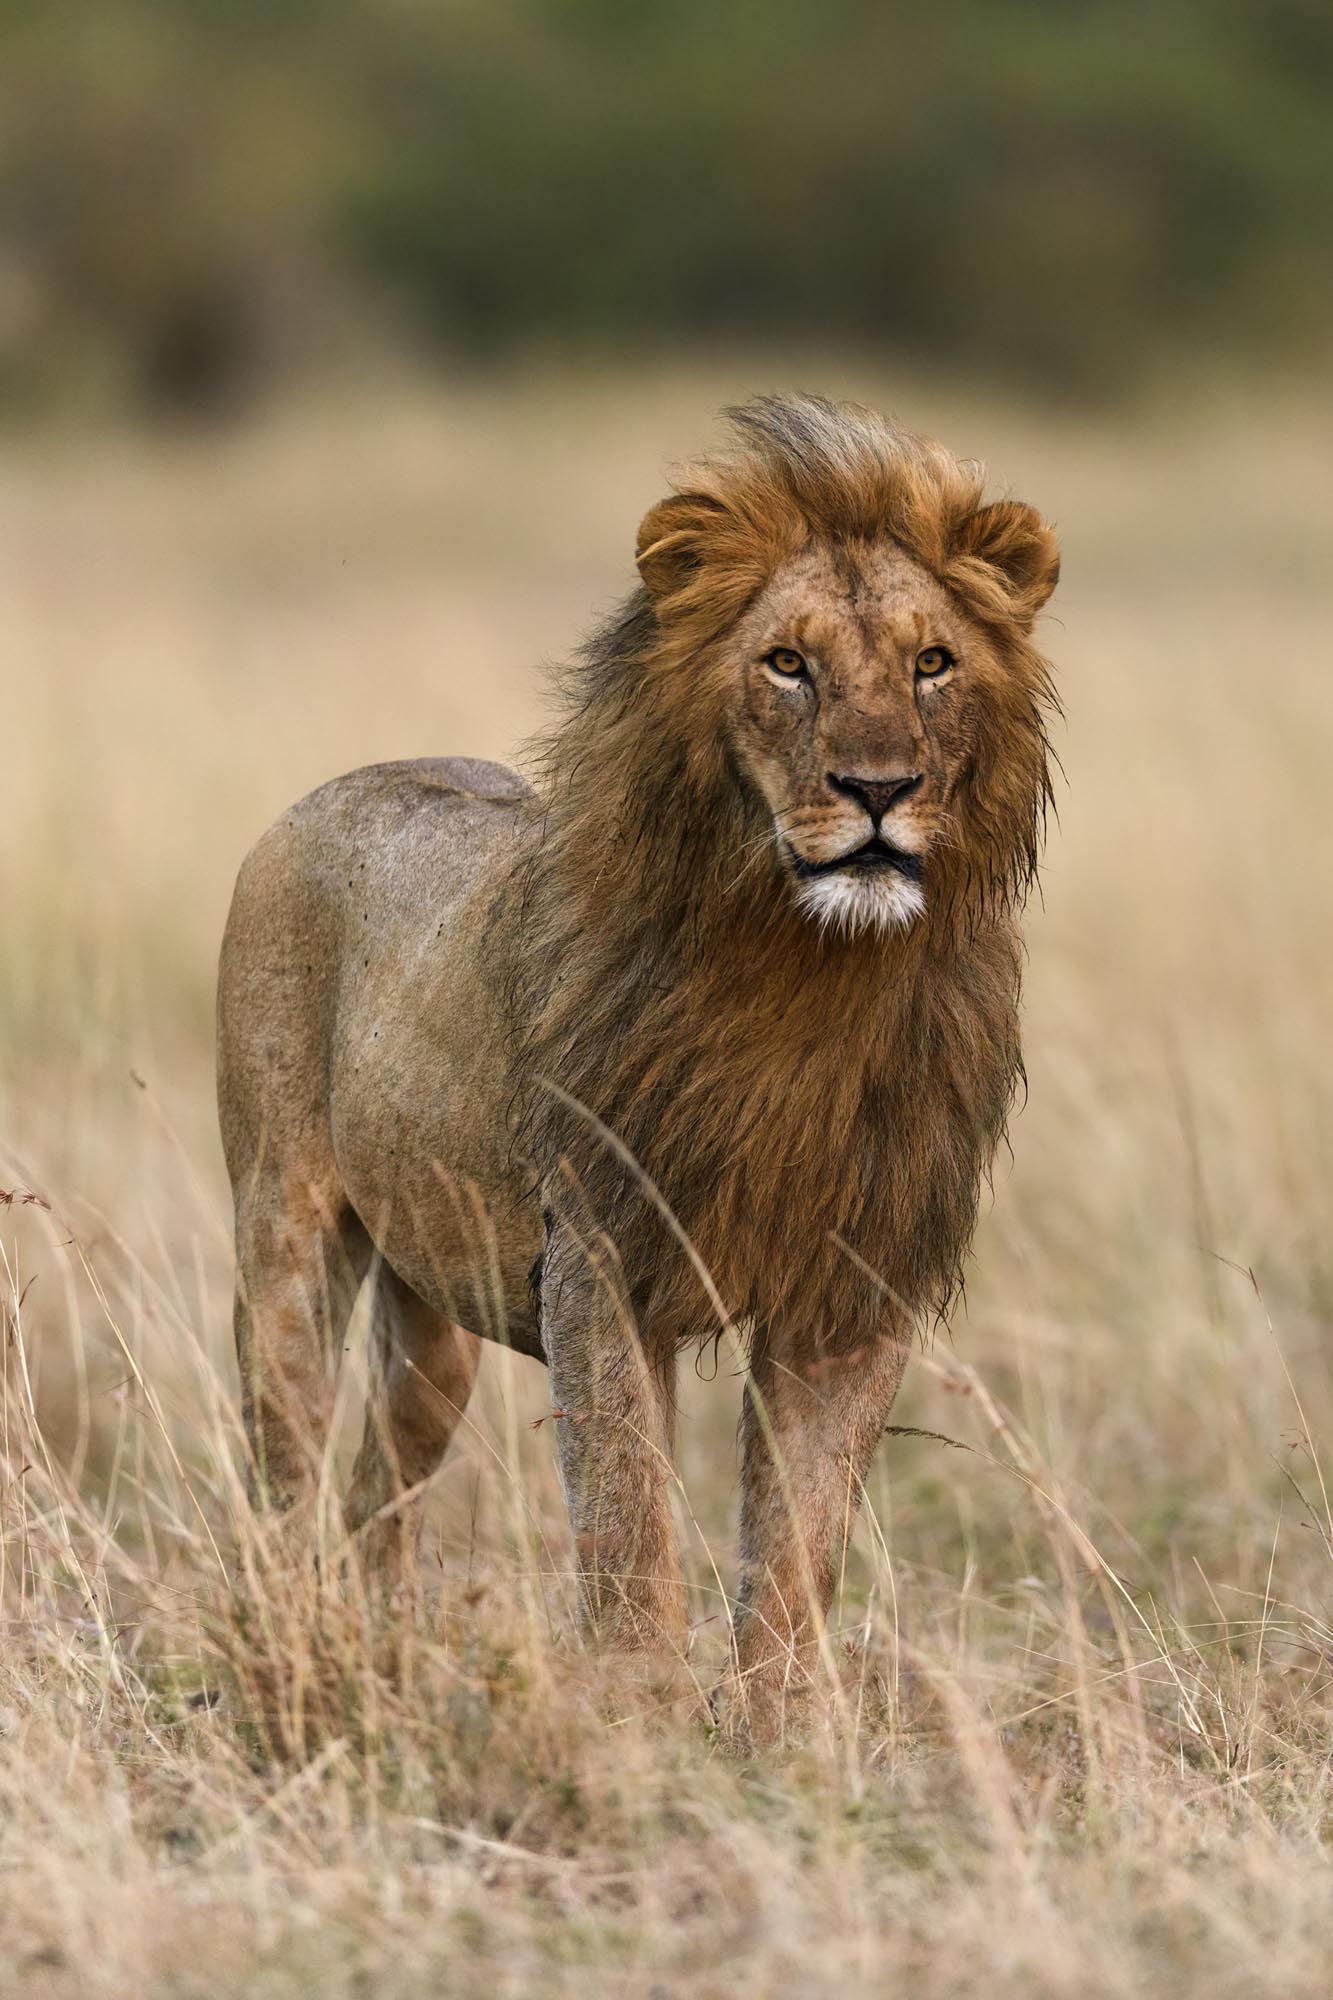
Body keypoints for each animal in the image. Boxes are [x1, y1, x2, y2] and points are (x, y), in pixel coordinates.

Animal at [217, 394, 1059, 1722]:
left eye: (933, 662)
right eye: (787, 663)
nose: (878, 788)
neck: (810, 973)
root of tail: (339, 784)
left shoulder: (851, 1284)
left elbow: (800, 1538)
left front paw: (785, 1732)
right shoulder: (604, 1252)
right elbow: (627, 1508)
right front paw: (640, 1714)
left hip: (434, 1326)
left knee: (377, 1490)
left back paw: (385, 1655)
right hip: (284, 1237)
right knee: (286, 1469)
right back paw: (288, 1647)